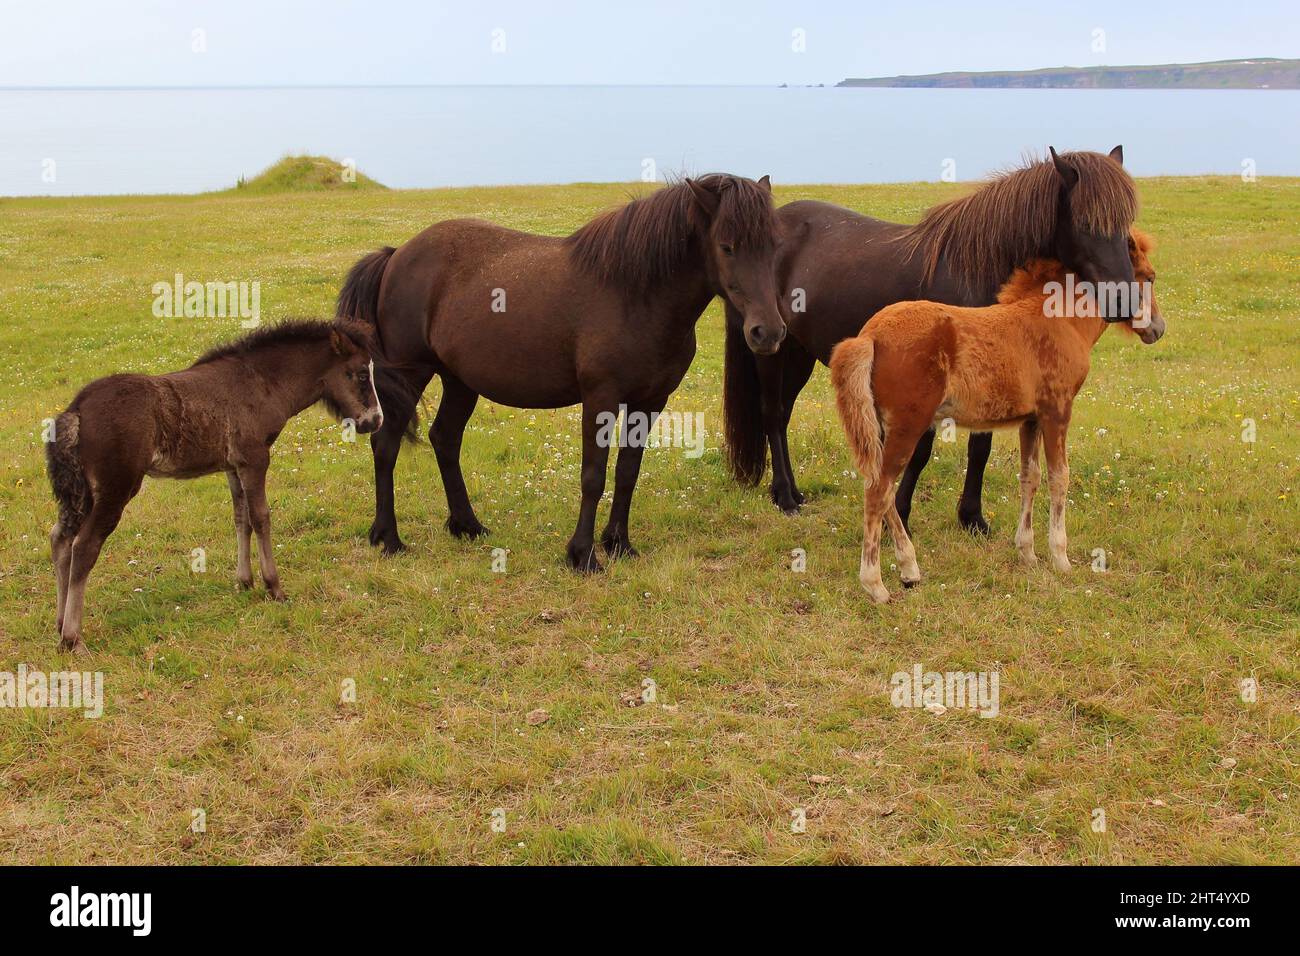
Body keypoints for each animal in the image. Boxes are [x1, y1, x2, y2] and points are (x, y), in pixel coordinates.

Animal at [45, 318, 383, 652]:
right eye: (361, 373)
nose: (376, 420)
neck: (262, 381)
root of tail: (76, 409)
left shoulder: (233, 467)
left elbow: (241, 519)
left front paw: (244, 582)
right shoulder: (255, 459)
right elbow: (261, 518)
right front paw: (274, 587)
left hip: (81, 494)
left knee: (60, 539)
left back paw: (60, 626)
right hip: (116, 489)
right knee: (84, 546)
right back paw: (73, 638)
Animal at [337, 174, 786, 573]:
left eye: (774, 246)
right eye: (727, 246)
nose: (768, 332)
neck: (635, 293)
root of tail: (397, 254)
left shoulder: (650, 401)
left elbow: (627, 471)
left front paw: (619, 544)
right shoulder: (601, 398)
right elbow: (593, 476)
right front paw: (583, 555)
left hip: (459, 381)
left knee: (445, 439)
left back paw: (467, 525)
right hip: (410, 375)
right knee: (386, 444)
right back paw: (388, 538)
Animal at [722, 146, 1140, 532]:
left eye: (1127, 223)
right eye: (1086, 223)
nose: (1124, 301)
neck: (975, 271)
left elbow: (980, 447)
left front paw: (971, 518)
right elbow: (920, 450)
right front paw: (899, 516)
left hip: (799, 352)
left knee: (782, 414)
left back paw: (789, 492)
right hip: (772, 347)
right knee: (772, 414)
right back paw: (785, 497)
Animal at [829, 228, 1163, 604]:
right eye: (1149, 276)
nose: (1158, 328)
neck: (1060, 319)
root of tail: (870, 335)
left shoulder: (1031, 419)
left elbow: (1030, 477)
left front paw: (1028, 553)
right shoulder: (1057, 411)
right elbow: (1059, 477)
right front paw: (1060, 558)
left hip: (882, 425)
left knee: (878, 485)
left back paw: (910, 569)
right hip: (907, 424)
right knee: (879, 490)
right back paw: (876, 584)